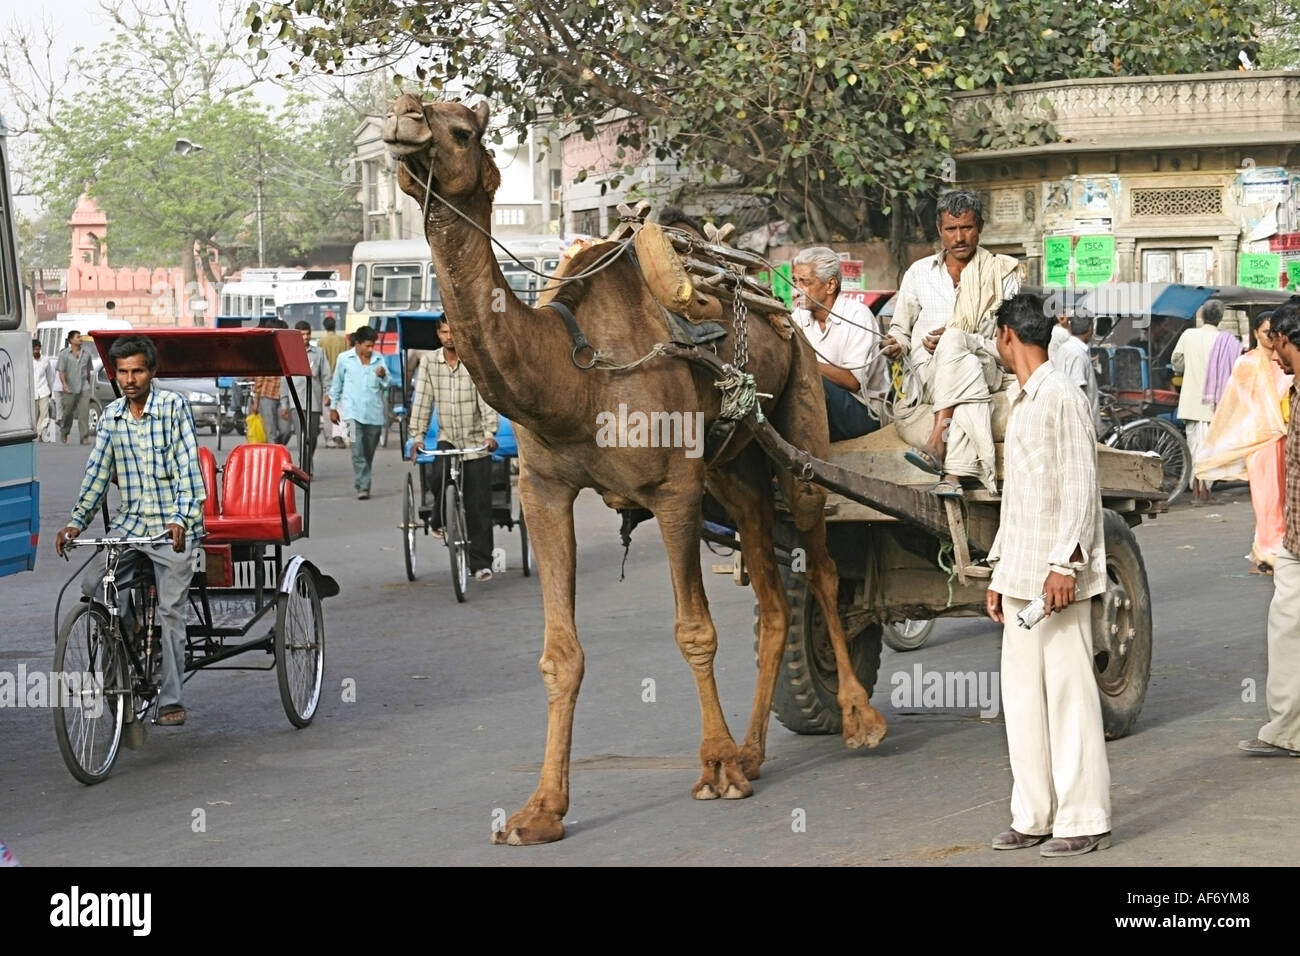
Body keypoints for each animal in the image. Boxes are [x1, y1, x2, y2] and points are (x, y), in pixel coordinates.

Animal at [383, 94, 887, 845]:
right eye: (413, 102)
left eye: (464, 130)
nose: (403, 117)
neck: (575, 372)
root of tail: (780, 307)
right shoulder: (544, 489)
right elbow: (560, 654)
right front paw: (539, 811)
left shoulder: (672, 489)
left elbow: (695, 630)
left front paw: (715, 769)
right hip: (734, 471)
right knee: (771, 596)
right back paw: (755, 751)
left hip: (802, 411)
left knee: (821, 566)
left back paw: (856, 720)